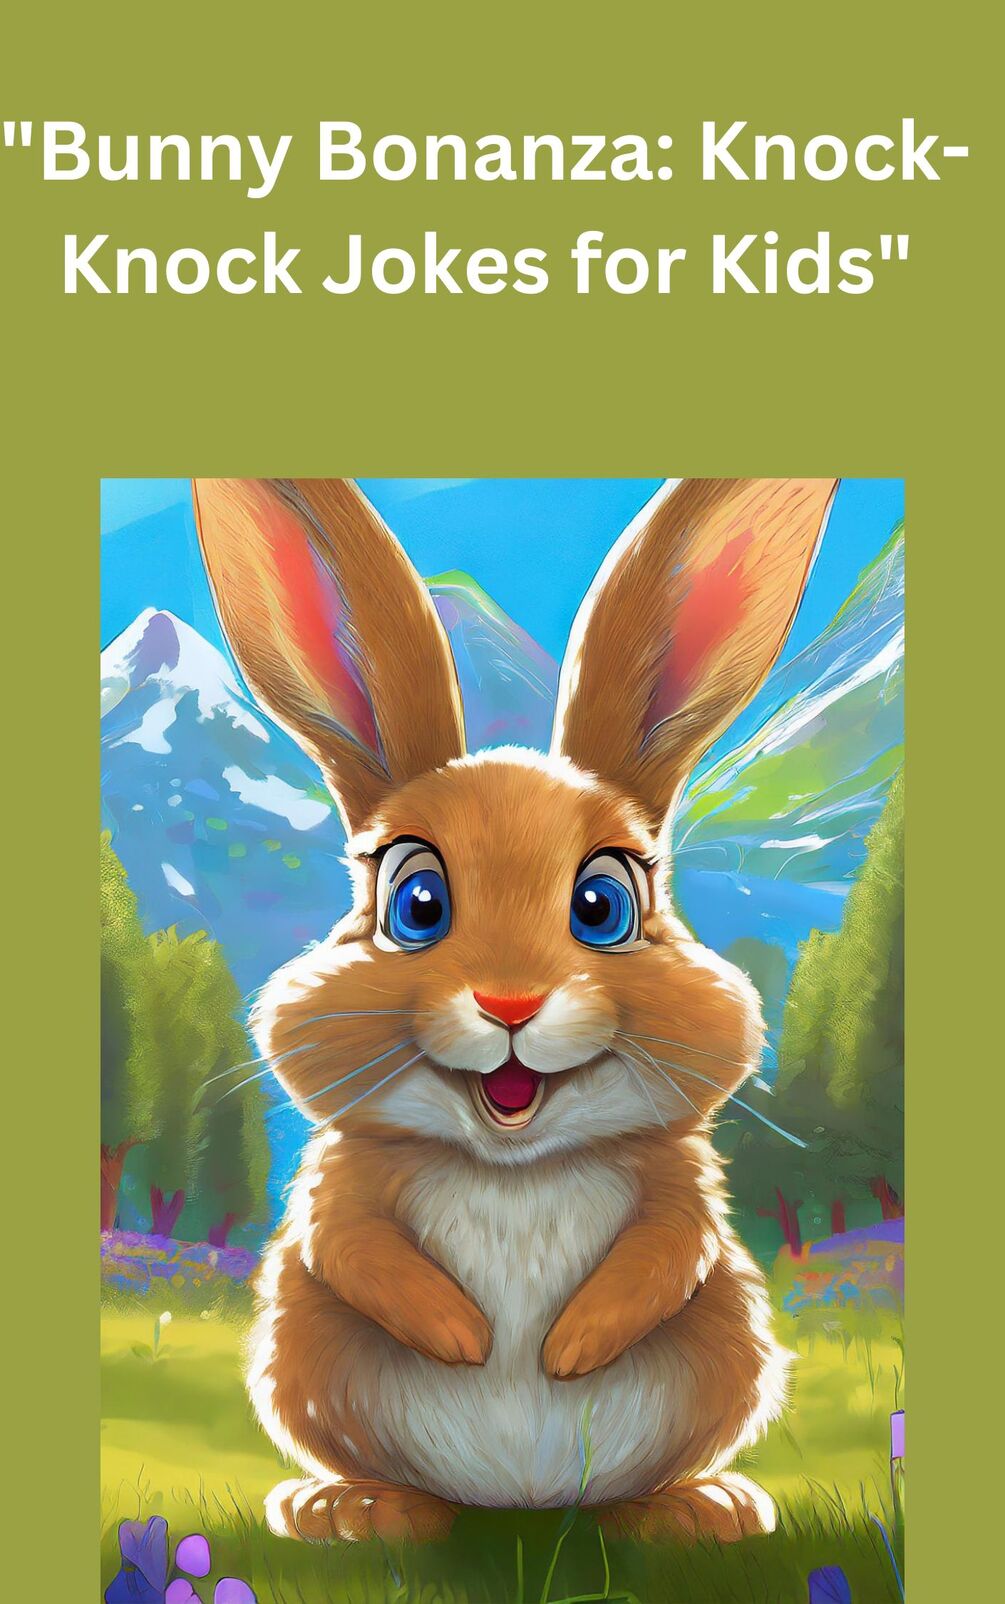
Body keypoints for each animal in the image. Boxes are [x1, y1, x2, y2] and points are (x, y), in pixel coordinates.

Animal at [192, 476, 837, 1546]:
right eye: (416, 903)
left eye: (602, 903)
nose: (509, 1001)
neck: (514, 1167)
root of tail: (519, 1505)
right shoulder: (341, 1187)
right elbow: (351, 1246)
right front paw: (465, 1334)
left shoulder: (680, 1190)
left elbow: (669, 1252)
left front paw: (566, 1347)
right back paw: (350, 1507)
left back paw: (698, 1509)